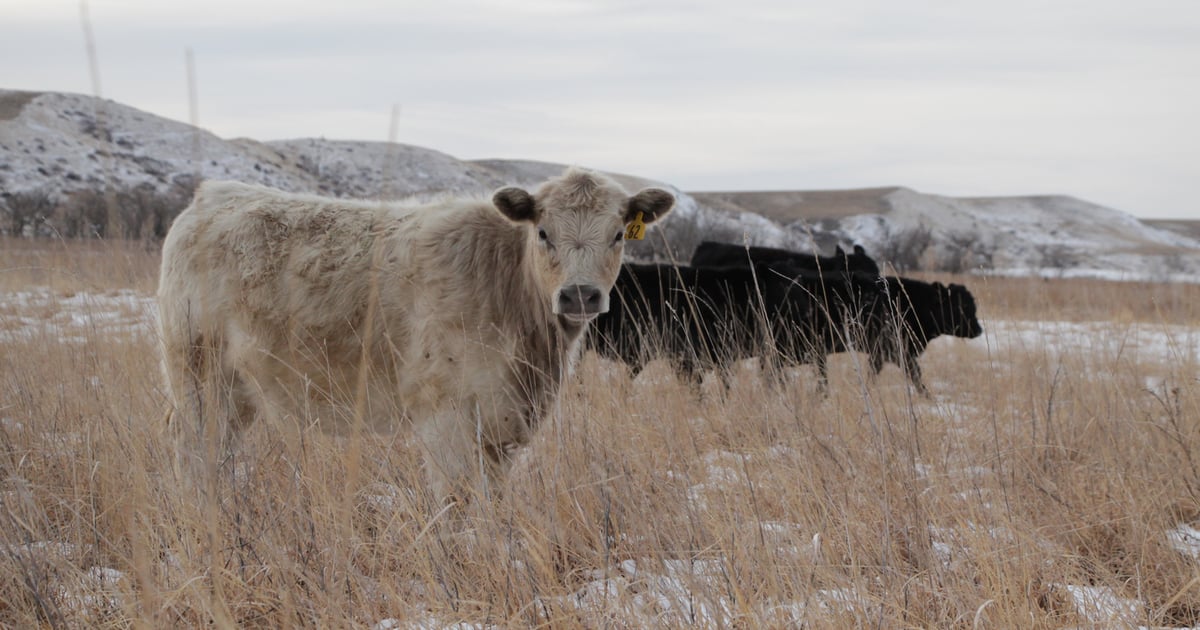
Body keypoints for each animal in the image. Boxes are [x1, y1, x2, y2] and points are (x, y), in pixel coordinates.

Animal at [156, 167, 674, 503]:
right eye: (543, 232)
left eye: (618, 235)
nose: (579, 295)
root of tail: (212, 195)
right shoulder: (444, 417)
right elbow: (457, 504)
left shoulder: (502, 426)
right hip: (197, 377)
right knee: (192, 456)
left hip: (240, 390)